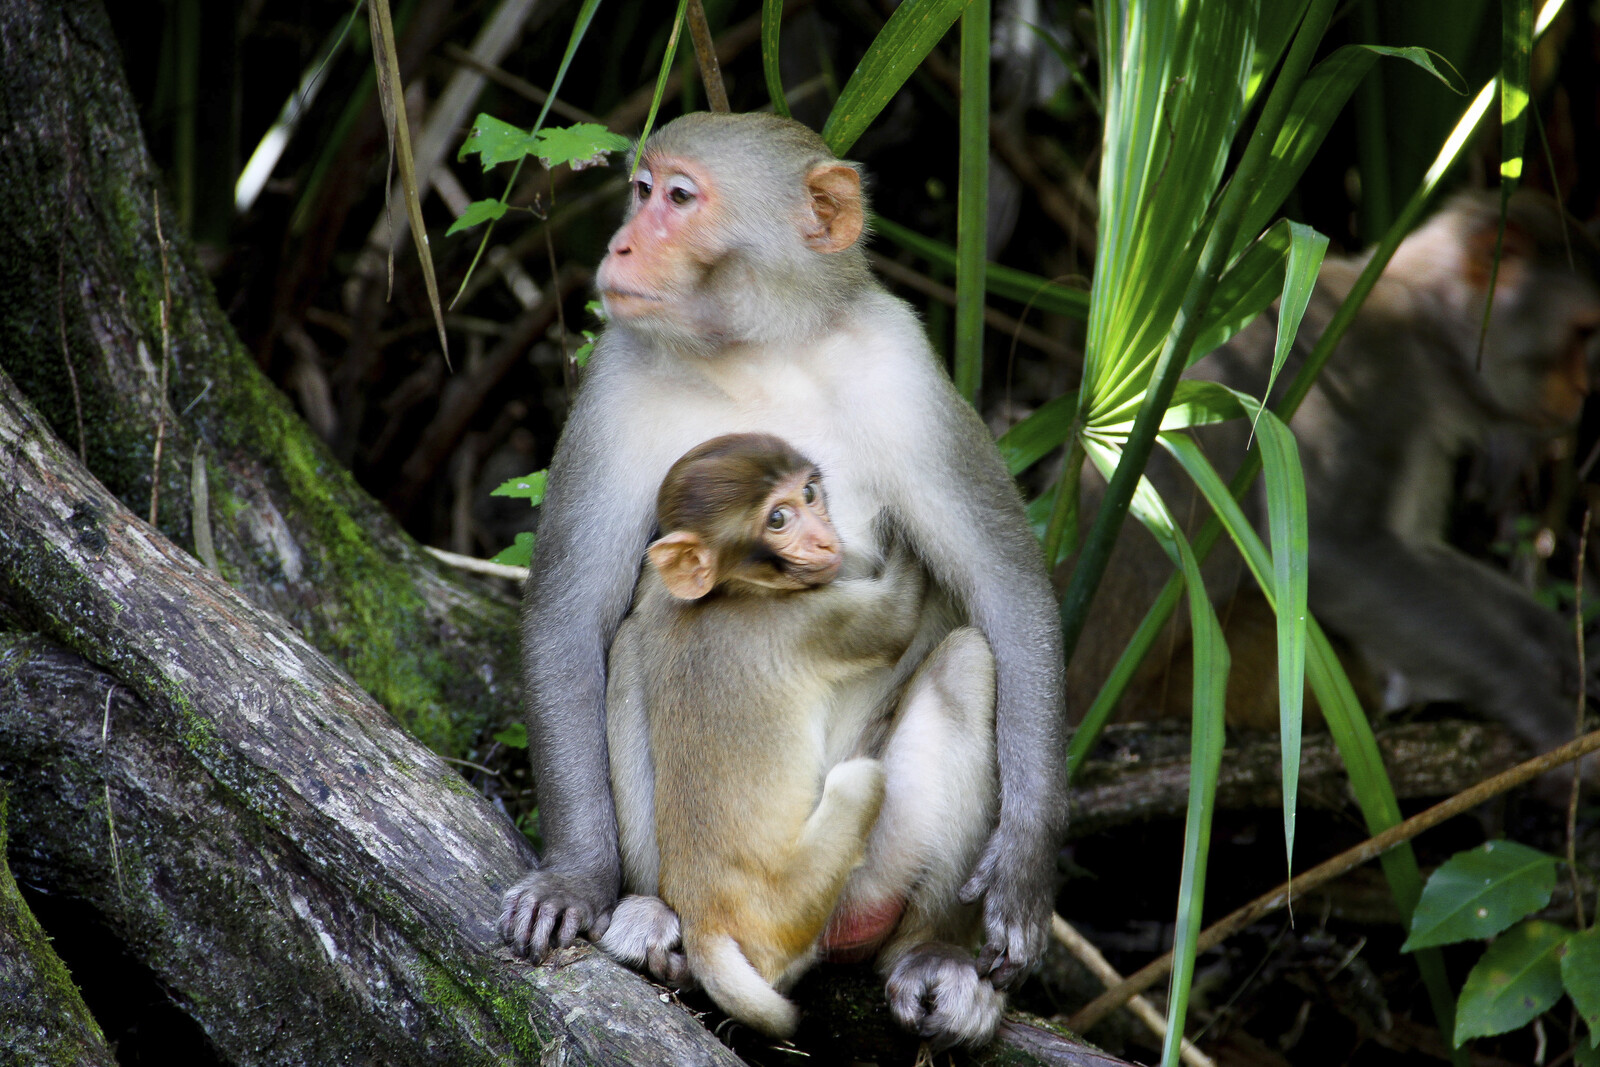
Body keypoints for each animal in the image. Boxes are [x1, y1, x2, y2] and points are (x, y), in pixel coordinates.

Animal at [597, 432, 997, 1038]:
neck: (734, 591)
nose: (825, 535)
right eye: (779, 518)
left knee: (625, 644)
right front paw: (899, 526)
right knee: (930, 706)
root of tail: (706, 919)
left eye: (810, 492)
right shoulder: (814, 619)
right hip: (805, 906)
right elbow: (897, 617)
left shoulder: (671, 604)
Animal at [1070, 191, 1600, 766]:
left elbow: (1416, 548)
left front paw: (1564, 648)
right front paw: (1538, 704)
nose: (1584, 389)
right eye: (1584, 332)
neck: (1422, 322)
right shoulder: (1369, 372)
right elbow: (1333, 553)